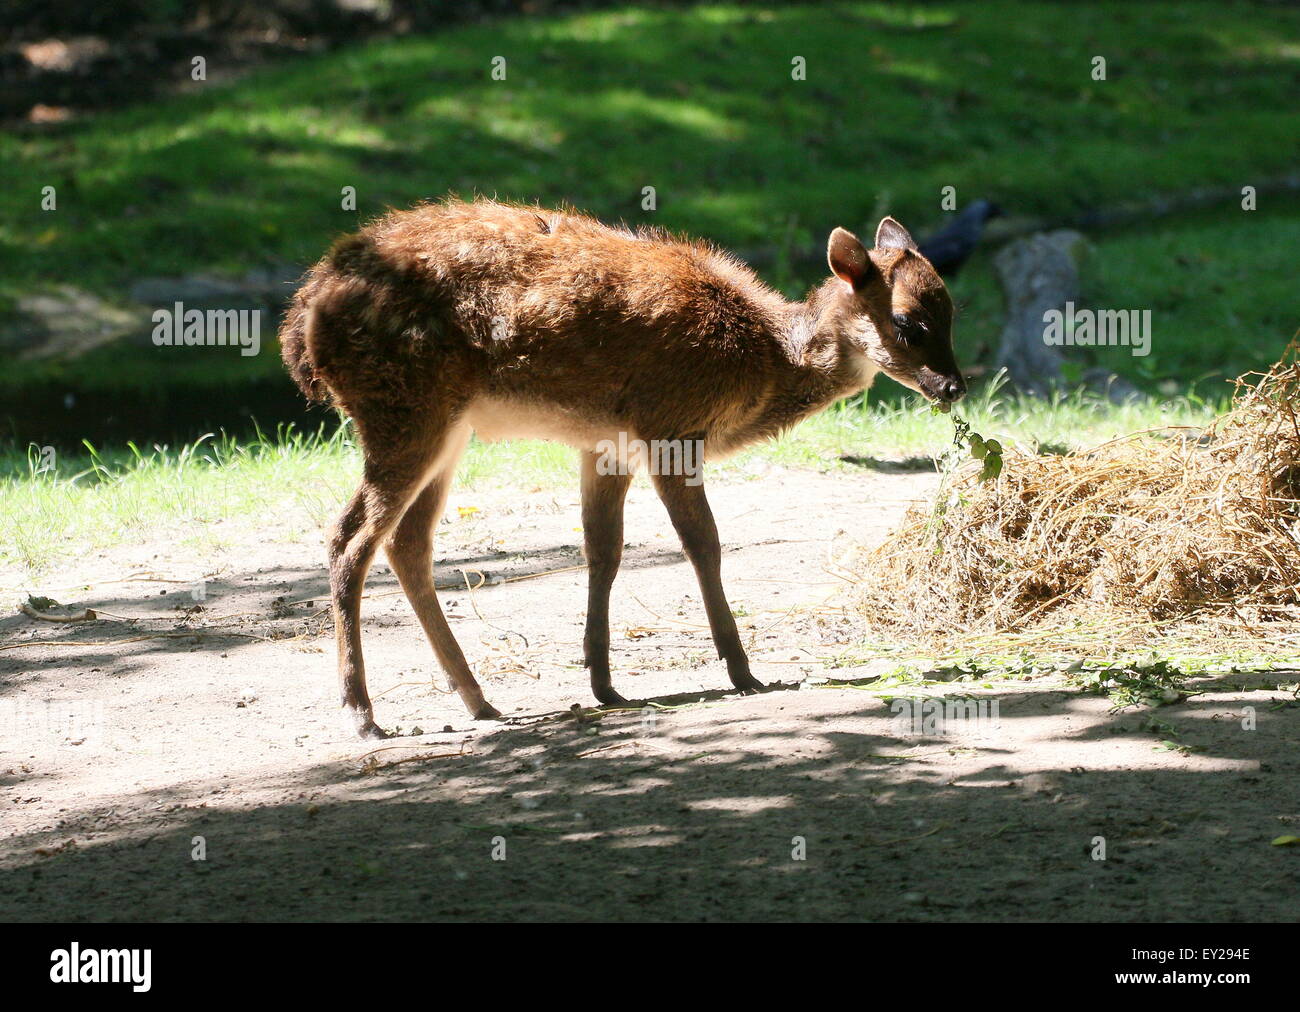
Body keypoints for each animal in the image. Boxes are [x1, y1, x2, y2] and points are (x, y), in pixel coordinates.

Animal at [280, 199, 965, 739]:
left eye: (952, 311)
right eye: (908, 322)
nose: (954, 386)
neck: (764, 357)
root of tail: (301, 327)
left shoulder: (605, 444)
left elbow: (603, 550)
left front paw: (605, 684)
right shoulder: (671, 426)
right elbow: (703, 543)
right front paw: (744, 671)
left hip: (447, 429)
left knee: (408, 541)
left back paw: (479, 700)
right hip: (405, 411)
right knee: (350, 538)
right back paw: (363, 714)